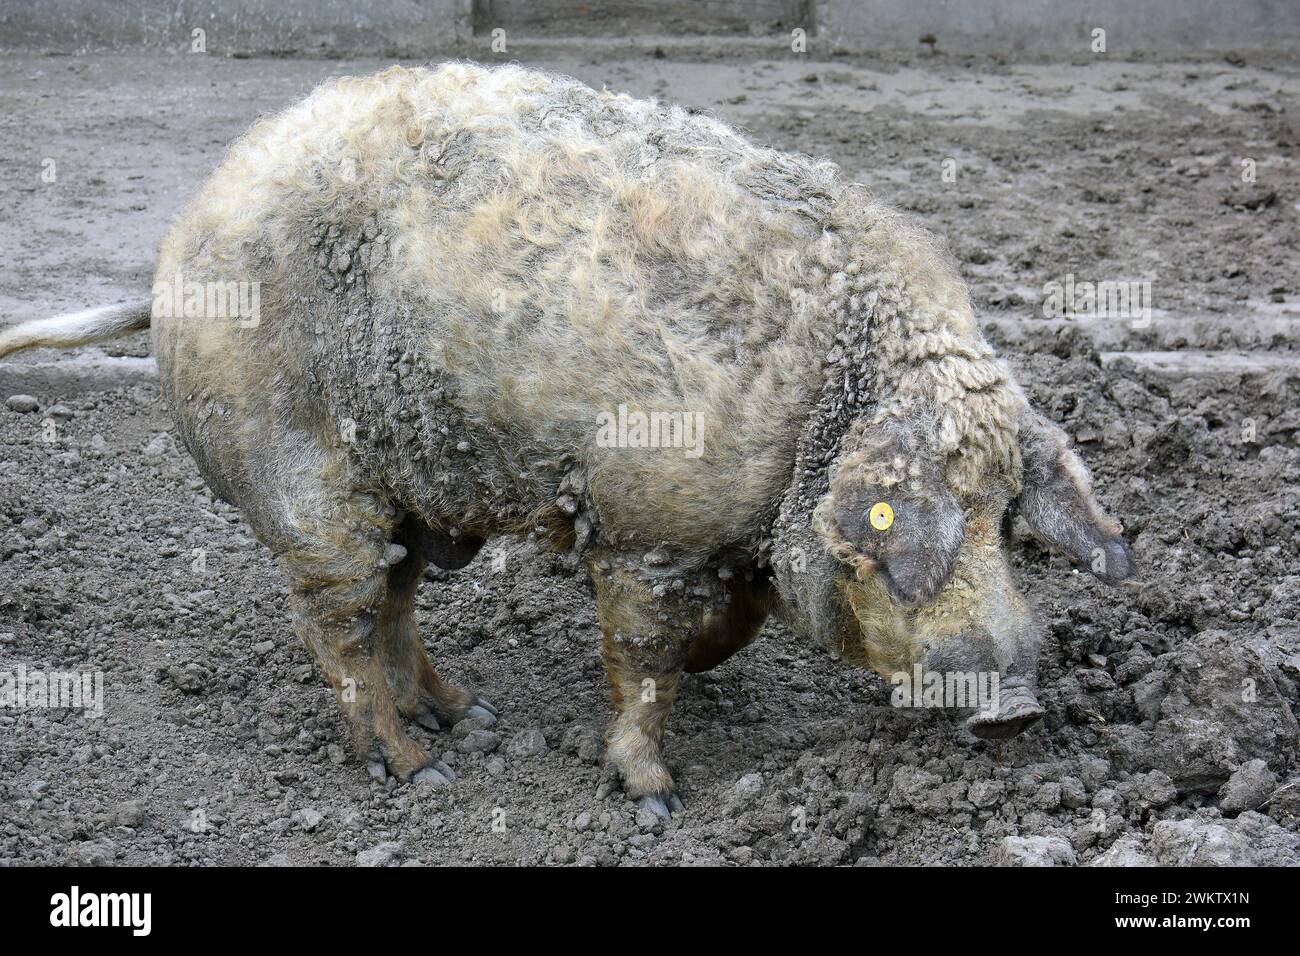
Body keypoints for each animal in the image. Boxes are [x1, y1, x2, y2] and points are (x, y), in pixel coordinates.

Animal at [0, 62, 1133, 816]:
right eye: (916, 532)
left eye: (1007, 523)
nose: (1014, 710)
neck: (820, 407)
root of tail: (173, 252)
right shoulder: (645, 525)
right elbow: (644, 656)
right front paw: (656, 796)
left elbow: (729, 627)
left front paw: (709, 674)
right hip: (305, 479)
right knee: (339, 622)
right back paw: (419, 769)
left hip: (408, 484)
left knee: (397, 598)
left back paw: (472, 716)